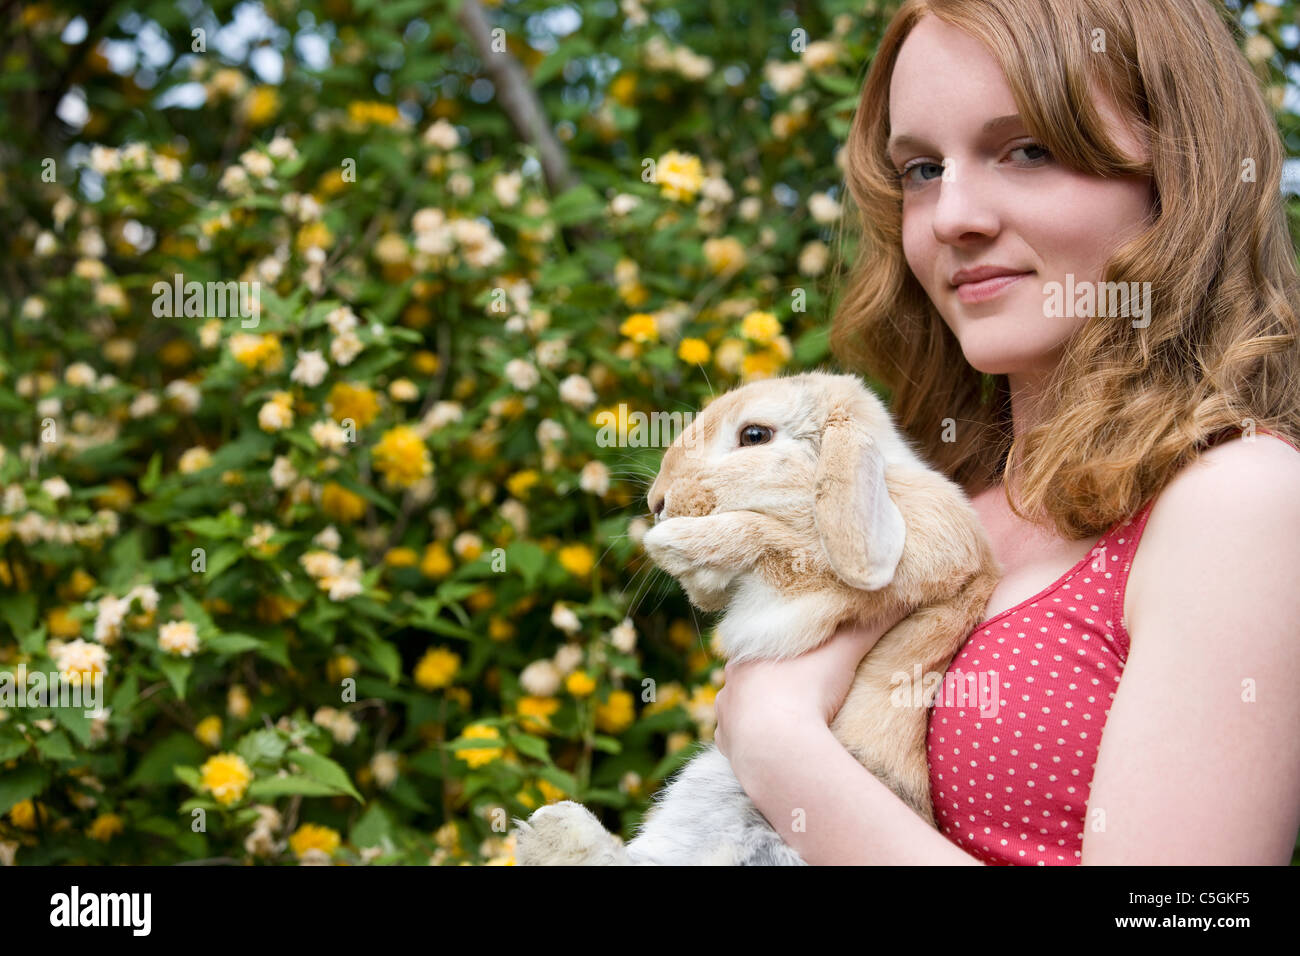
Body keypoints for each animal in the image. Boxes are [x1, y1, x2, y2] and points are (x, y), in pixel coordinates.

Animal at [512, 370, 1001, 865]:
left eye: (754, 436)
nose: (656, 503)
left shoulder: (817, 589)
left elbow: (770, 539)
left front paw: (670, 542)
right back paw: (551, 827)